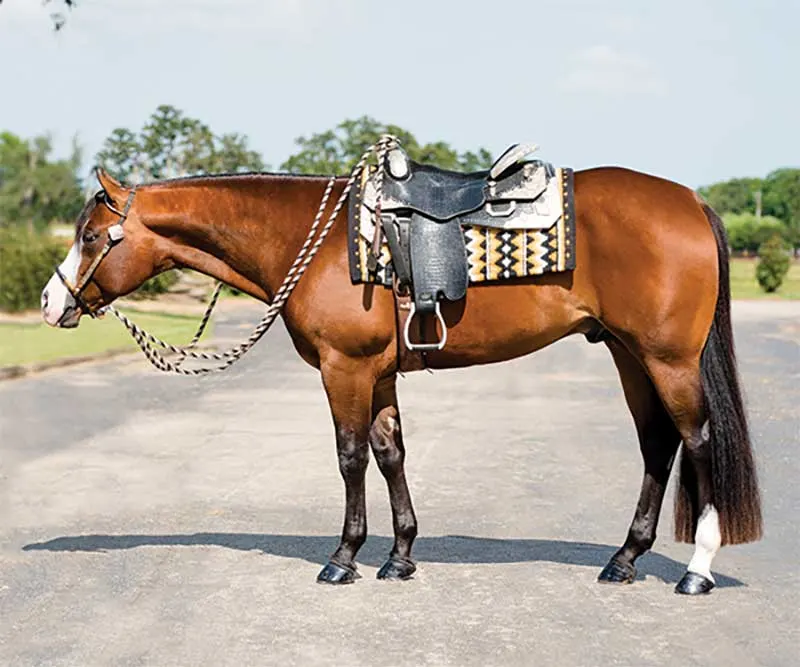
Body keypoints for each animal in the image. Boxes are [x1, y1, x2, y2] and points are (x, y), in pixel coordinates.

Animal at [40, 162, 763, 595]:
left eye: (92, 235)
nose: (51, 302)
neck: (321, 240)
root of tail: (691, 200)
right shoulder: (379, 372)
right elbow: (391, 454)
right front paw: (400, 554)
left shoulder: (347, 366)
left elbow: (350, 456)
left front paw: (344, 557)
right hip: (626, 353)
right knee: (657, 445)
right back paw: (624, 559)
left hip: (666, 359)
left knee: (696, 442)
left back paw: (696, 569)